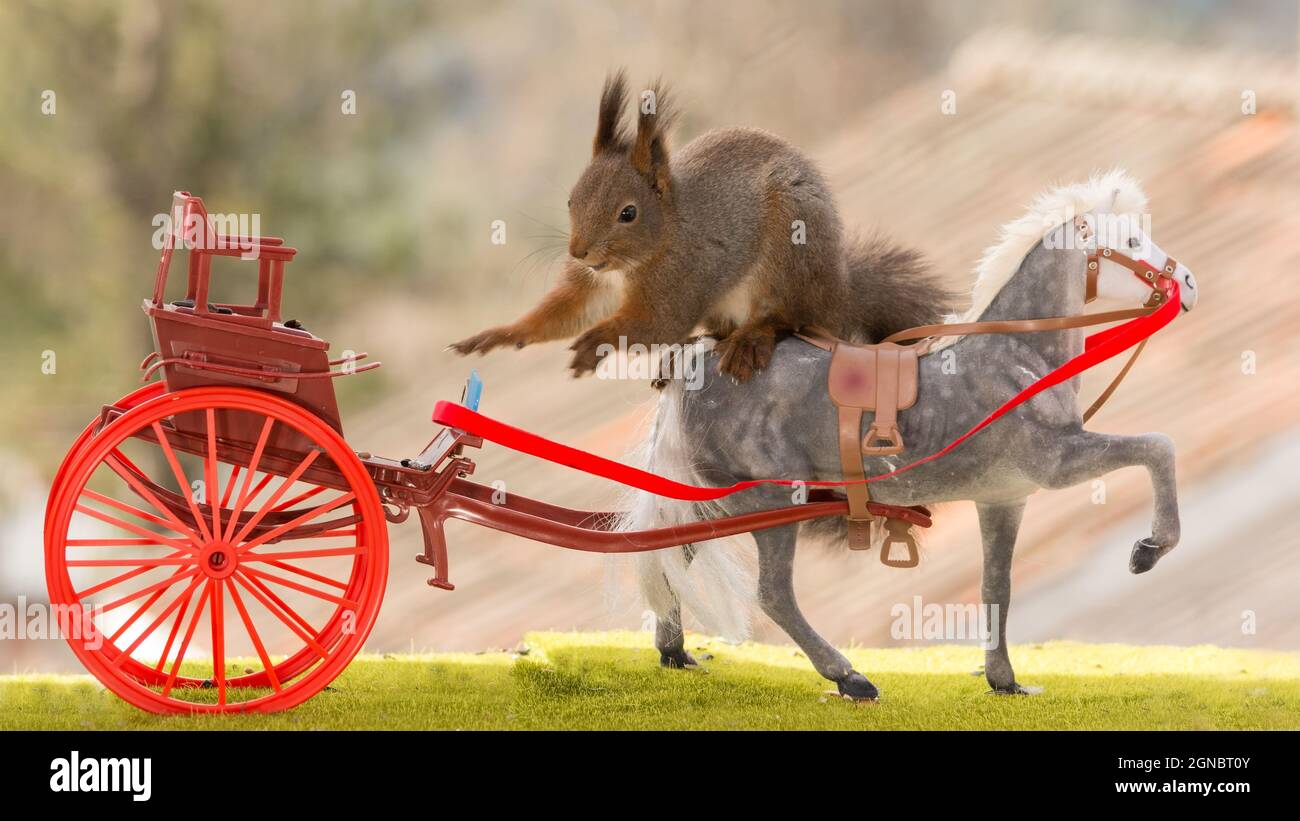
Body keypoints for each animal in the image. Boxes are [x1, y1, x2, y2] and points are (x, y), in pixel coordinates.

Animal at [451, 70, 950, 380]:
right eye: (571, 199)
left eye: (628, 213)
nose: (579, 252)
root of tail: (840, 293)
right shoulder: (590, 286)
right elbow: (562, 314)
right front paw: (499, 334)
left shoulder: (681, 279)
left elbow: (658, 323)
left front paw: (596, 342)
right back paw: (702, 342)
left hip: (792, 248)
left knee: (790, 318)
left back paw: (751, 338)